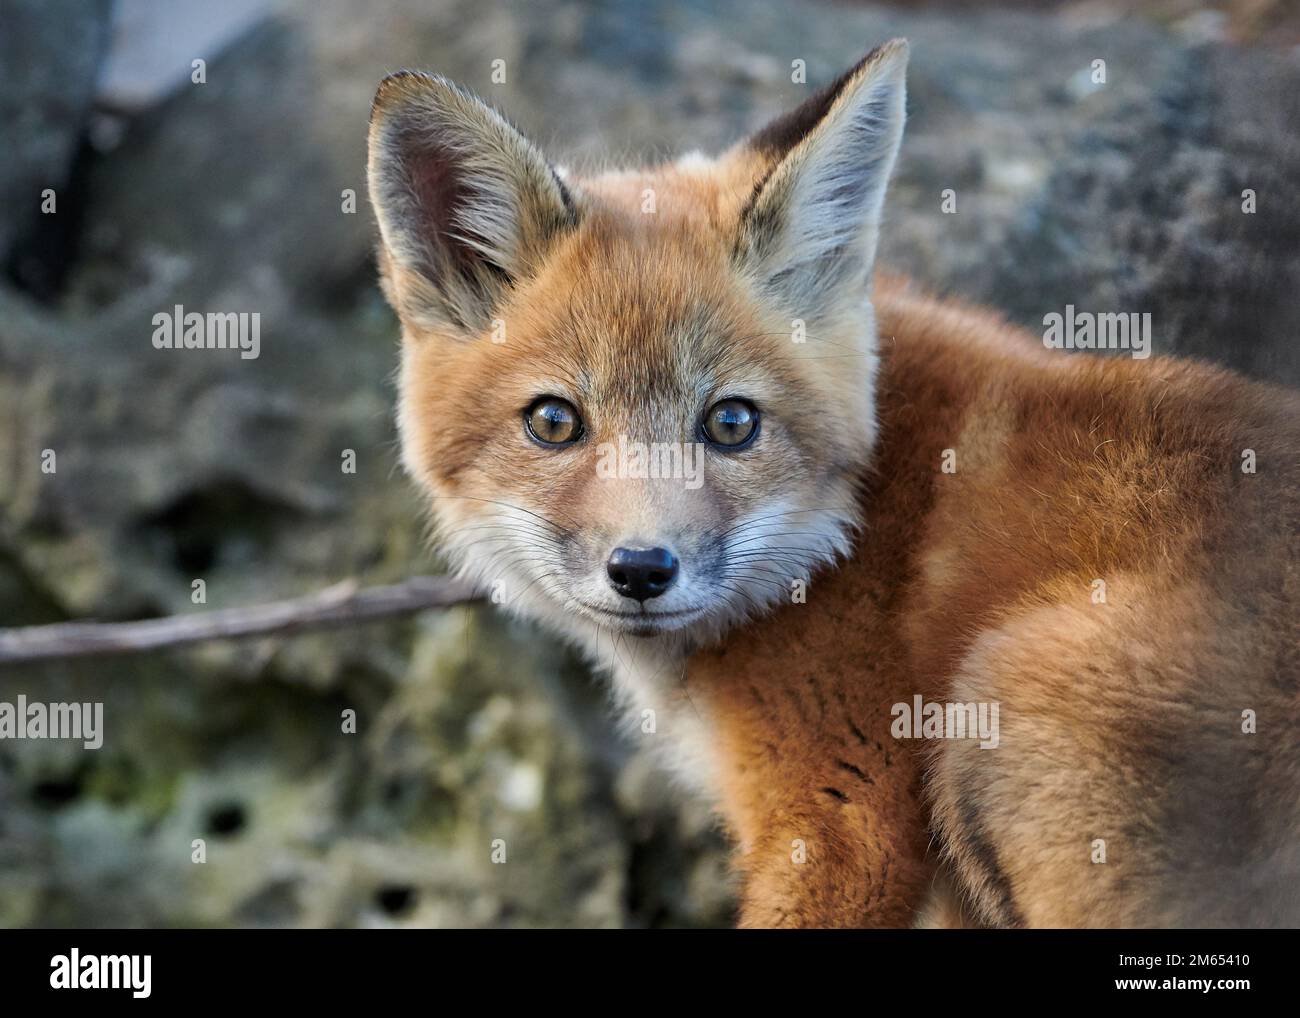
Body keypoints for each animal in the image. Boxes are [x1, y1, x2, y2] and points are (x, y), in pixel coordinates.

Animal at [366, 40, 1300, 927]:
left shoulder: (846, 818)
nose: (641, 570)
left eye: (731, 423)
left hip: (1010, 693)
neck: (839, 534)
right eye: (555, 422)